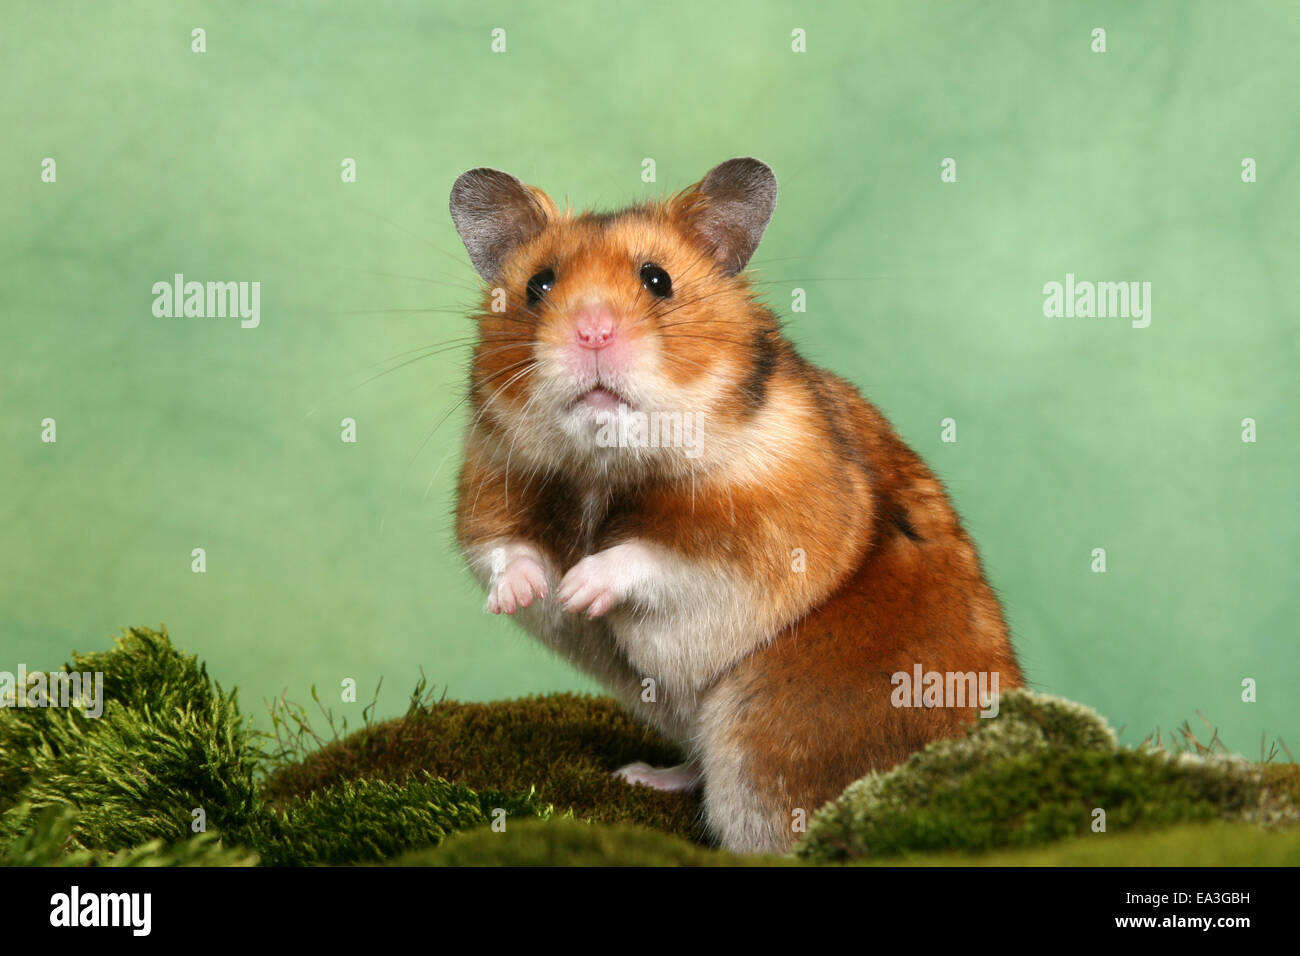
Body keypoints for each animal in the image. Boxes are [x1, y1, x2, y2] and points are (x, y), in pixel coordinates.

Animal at [448, 158, 1024, 854]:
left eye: (658, 279)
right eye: (538, 284)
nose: (592, 332)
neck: (607, 466)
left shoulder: (768, 535)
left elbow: (654, 556)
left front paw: (580, 588)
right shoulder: (490, 482)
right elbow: (504, 549)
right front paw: (527, 594)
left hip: (763, 748)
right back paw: (643, 774)